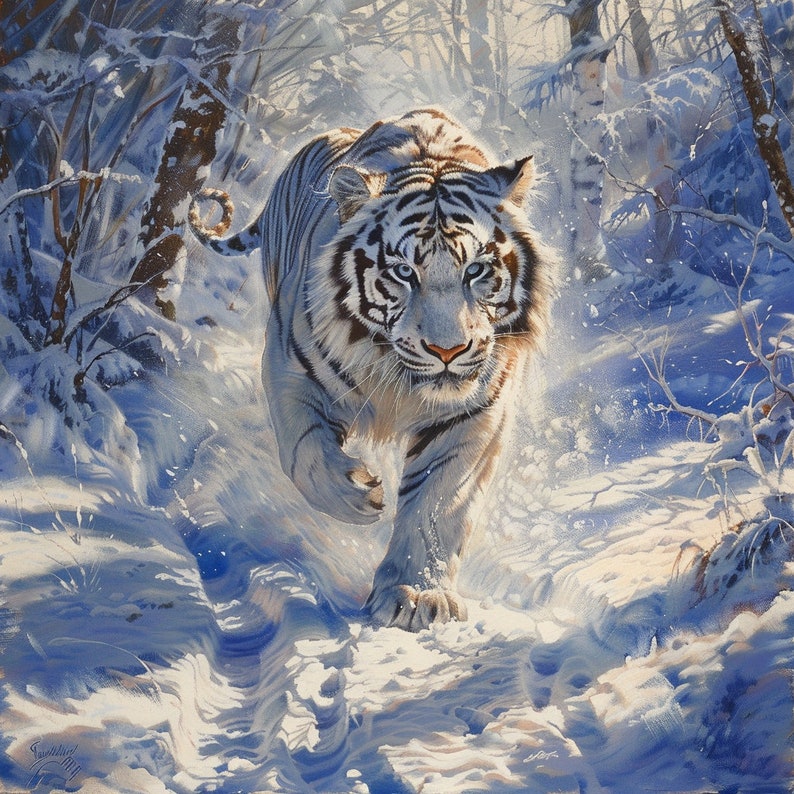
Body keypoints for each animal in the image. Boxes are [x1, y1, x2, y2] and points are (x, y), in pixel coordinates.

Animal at [188, 108, 550, 631]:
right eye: (403, 272)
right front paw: (358, 496)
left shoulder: (474, 414)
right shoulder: (288, 367)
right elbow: (305, 454)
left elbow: (436, 505)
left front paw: (417, 596)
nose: (447, 350)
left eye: (477, 270)